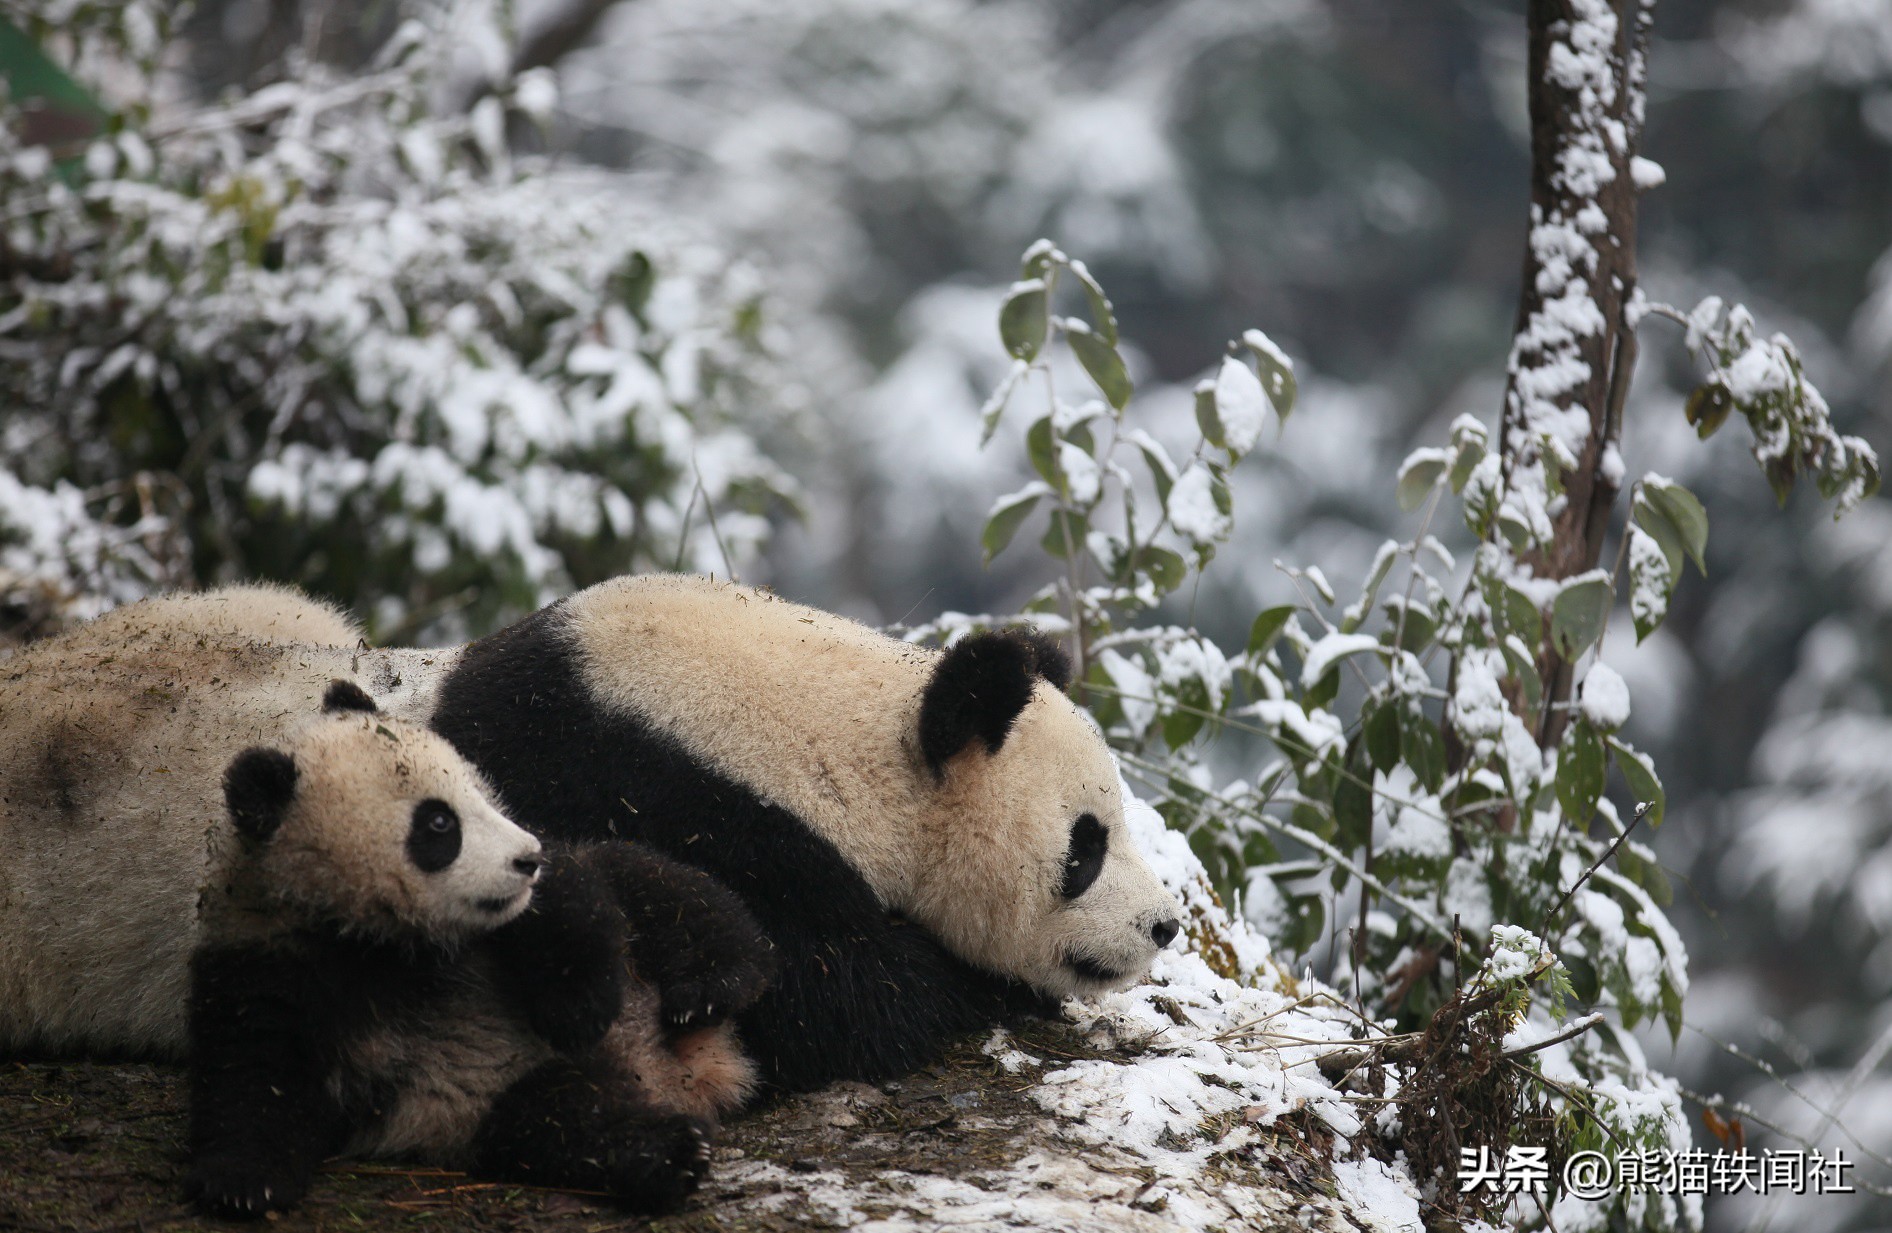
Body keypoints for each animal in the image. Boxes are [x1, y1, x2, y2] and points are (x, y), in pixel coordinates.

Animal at [188, 680, 771, 1217]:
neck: (395, 944)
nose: (526, 858)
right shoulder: (270, 958)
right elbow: (255, 1073)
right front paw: (244, 1183)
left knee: (661, 890)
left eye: (481, 794)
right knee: (565, 1124)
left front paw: (580, 1012)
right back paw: (673, 1150)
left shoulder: (532, 897)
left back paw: (706, 991)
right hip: (487, 1105)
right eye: (440, 823)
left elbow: (571, 906)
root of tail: (680, 1071)